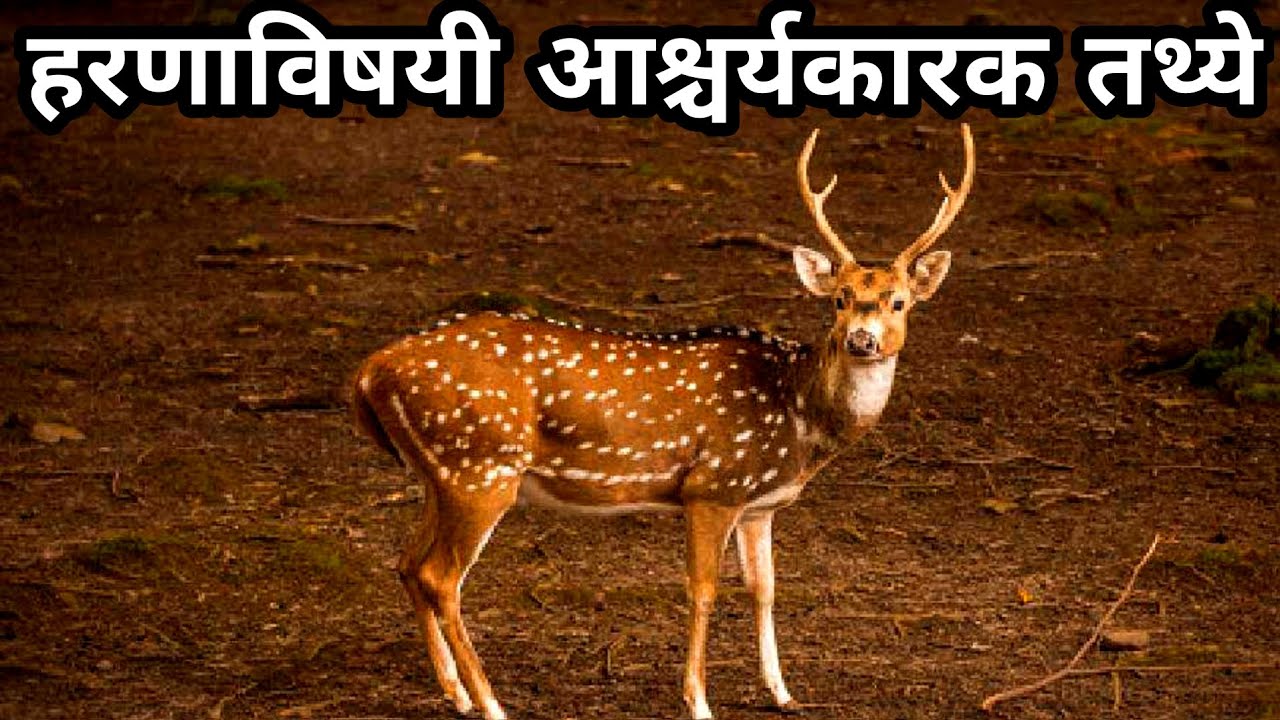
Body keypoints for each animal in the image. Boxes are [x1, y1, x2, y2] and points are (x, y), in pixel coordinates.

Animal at [351, 123, 974, 720]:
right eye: (839, 299)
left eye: (898, 302)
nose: (861, 340)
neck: (800, 419)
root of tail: (371, 369)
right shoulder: (712, 486)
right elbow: (704, 591)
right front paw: (698, 701)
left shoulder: (760, 503)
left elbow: (766, 589)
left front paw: (782, 692)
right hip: (480, 468)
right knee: (441, 577)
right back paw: (491, 703)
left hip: (440, 474)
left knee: (407, 564)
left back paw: (456, 694)